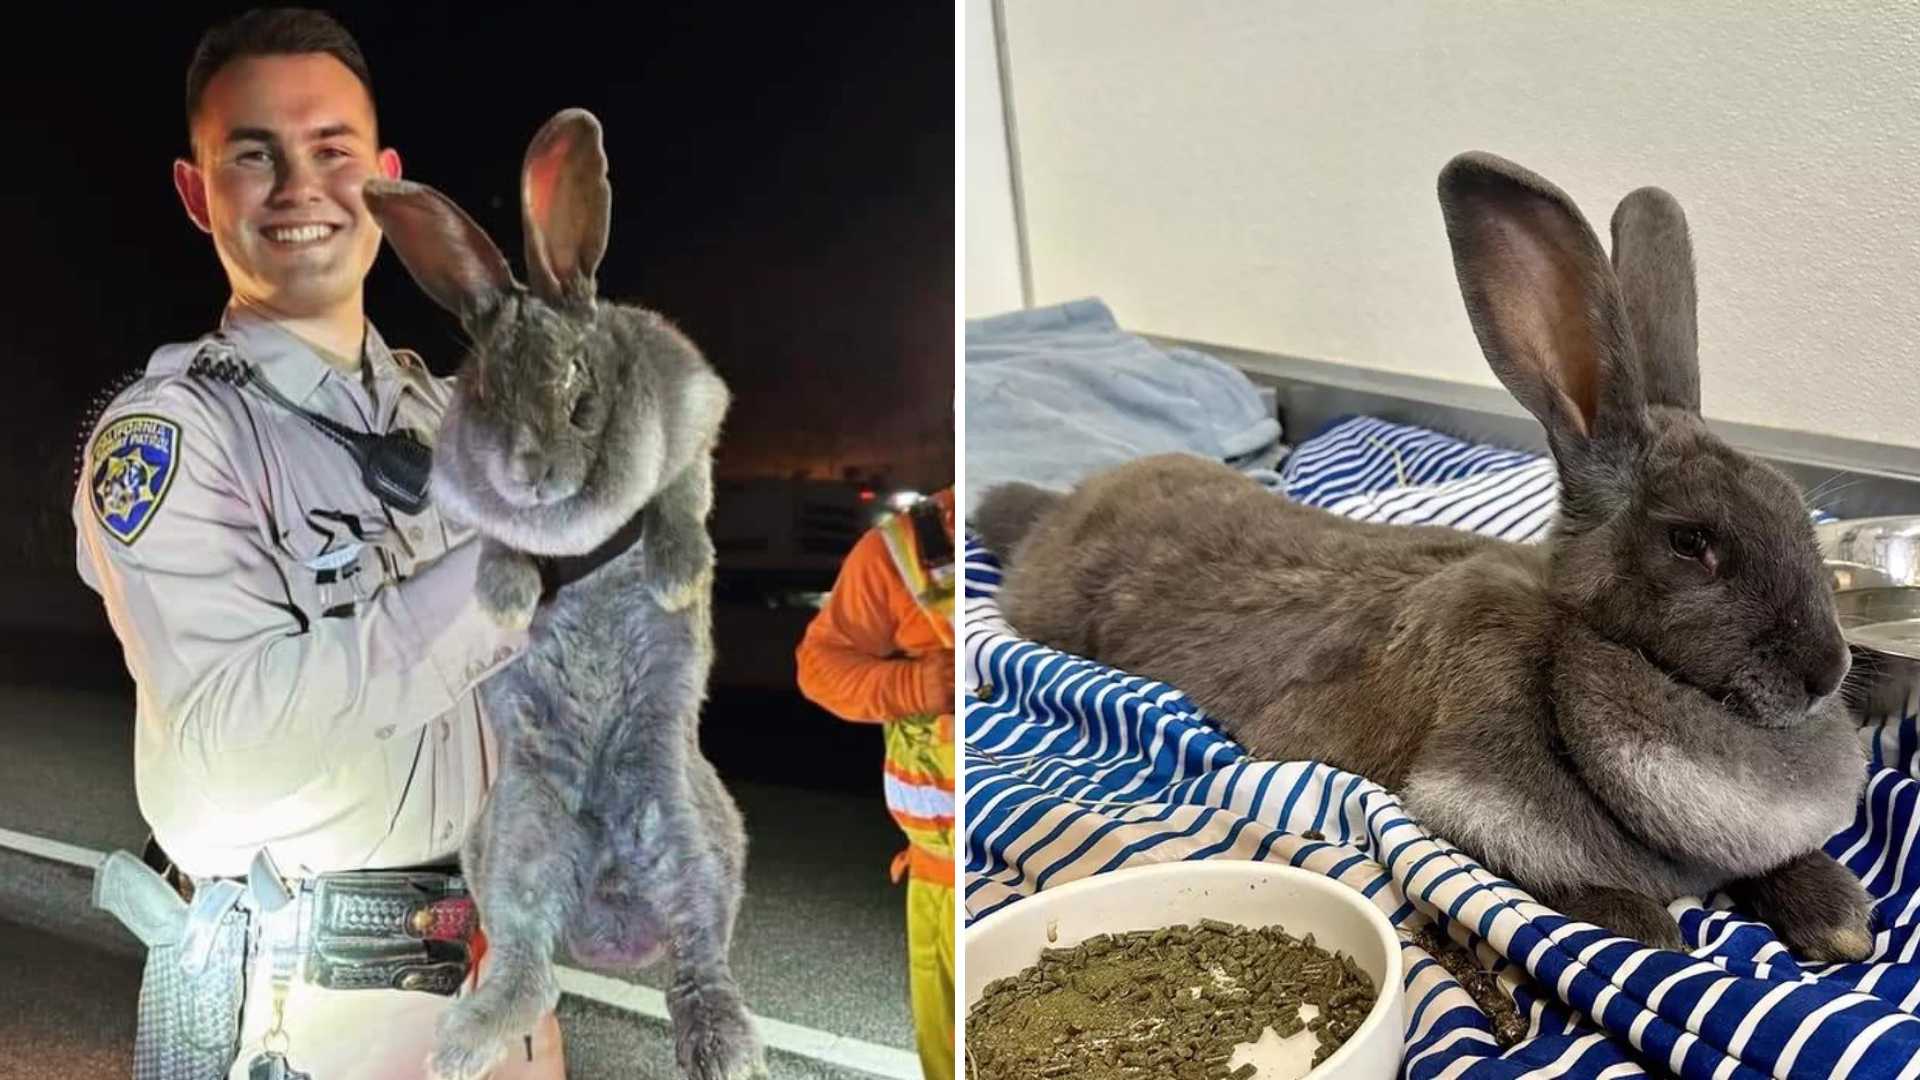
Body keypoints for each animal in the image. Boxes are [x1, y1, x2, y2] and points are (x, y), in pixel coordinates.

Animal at [363, 107, 766, 1080]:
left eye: (583, 397)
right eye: (480, 390)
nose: (530, 472)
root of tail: (605, 897)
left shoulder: (696, 423)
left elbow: (677, 499)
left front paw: (676, 573)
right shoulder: (473, 508)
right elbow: (494, 540)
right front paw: (508, 597)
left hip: (688, 836)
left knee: (697, 957)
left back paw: (723, 1049)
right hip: (515, 841)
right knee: (527, 967)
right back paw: (459, 1046)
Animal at [973, 150, 1875, 962]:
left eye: (1796, 510)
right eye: (1691, 542)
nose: (1825, 671)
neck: (1573, 646)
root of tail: (1063, 508)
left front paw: (1840, 922)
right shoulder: (1460, 807)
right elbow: (1583, 895)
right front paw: (1651, 923)